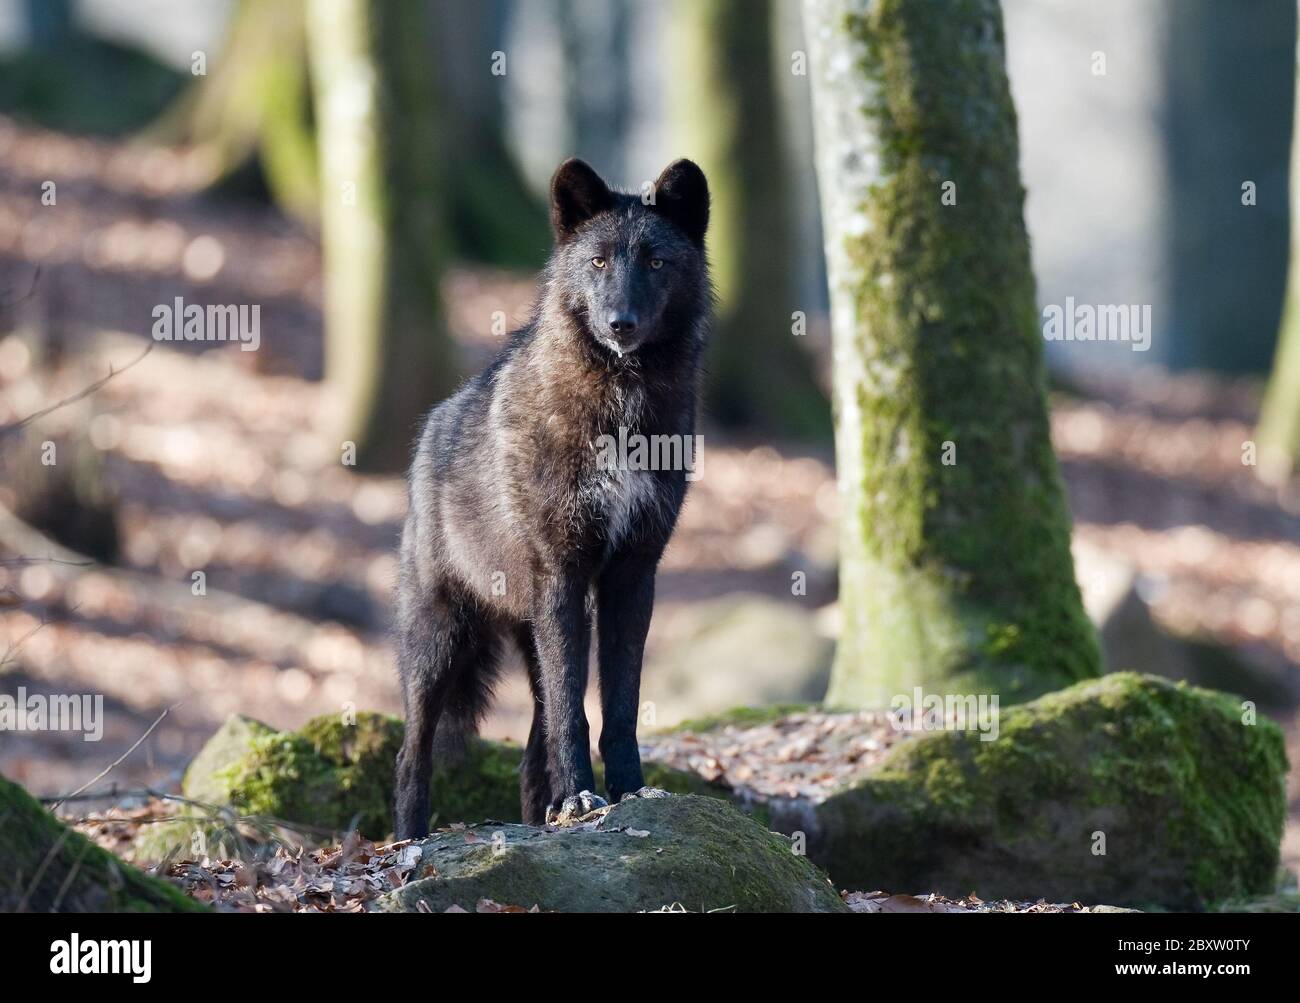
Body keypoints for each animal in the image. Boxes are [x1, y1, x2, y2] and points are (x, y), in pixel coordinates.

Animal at [393, 157, 711, 839]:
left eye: (655, 262)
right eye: (597, 261)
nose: (621, 323)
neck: (620, 408)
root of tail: (430, 427)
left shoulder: (631, 577)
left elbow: (620, 706)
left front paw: (629, 792)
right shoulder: (562, 572)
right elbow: (575, 711)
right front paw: (583, 799)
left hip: (537, 629)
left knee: (528, 755)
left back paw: (543, 816)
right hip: (440, 643)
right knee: (411, 756)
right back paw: (410, 842)